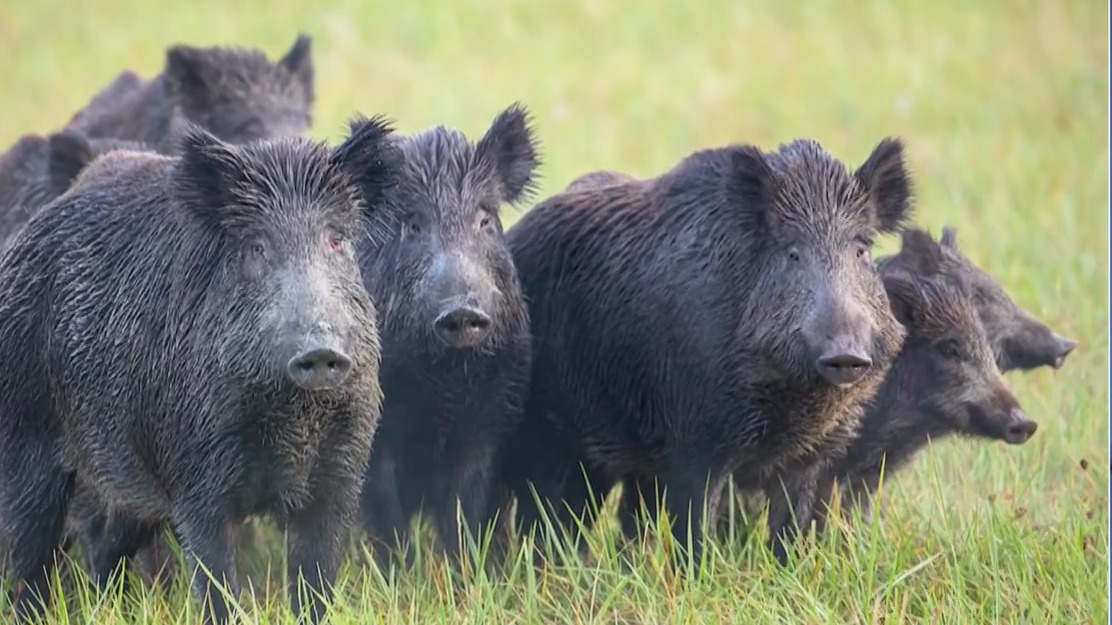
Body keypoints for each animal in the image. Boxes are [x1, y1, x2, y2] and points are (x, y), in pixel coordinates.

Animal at [0, 119, 401, 623]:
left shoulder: (340, 474)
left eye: (337, 240)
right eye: (256, 248)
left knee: (105, 548)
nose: (321, 349)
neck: (292, 418)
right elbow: (216, 583)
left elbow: (315, 585)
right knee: (31, 557)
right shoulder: (197, 479)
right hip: (25, 437)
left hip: (128, 484)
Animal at [345, 104, 536, 566]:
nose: (462, 309)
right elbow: (386, 514)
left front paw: (468, 571)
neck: (445, 385)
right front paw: (400, 575)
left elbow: (467, 507)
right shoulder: (376, 435)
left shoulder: (491, 420)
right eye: (412, 225)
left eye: (485, 219)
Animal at [501, 137, 913, 566]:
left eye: (861, 251)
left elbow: (790, 533)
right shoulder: (694, 445)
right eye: (792, 252)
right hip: (546, 437)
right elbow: (695, 532)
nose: (846, 354)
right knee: (547, 517)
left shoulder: (809, 458)